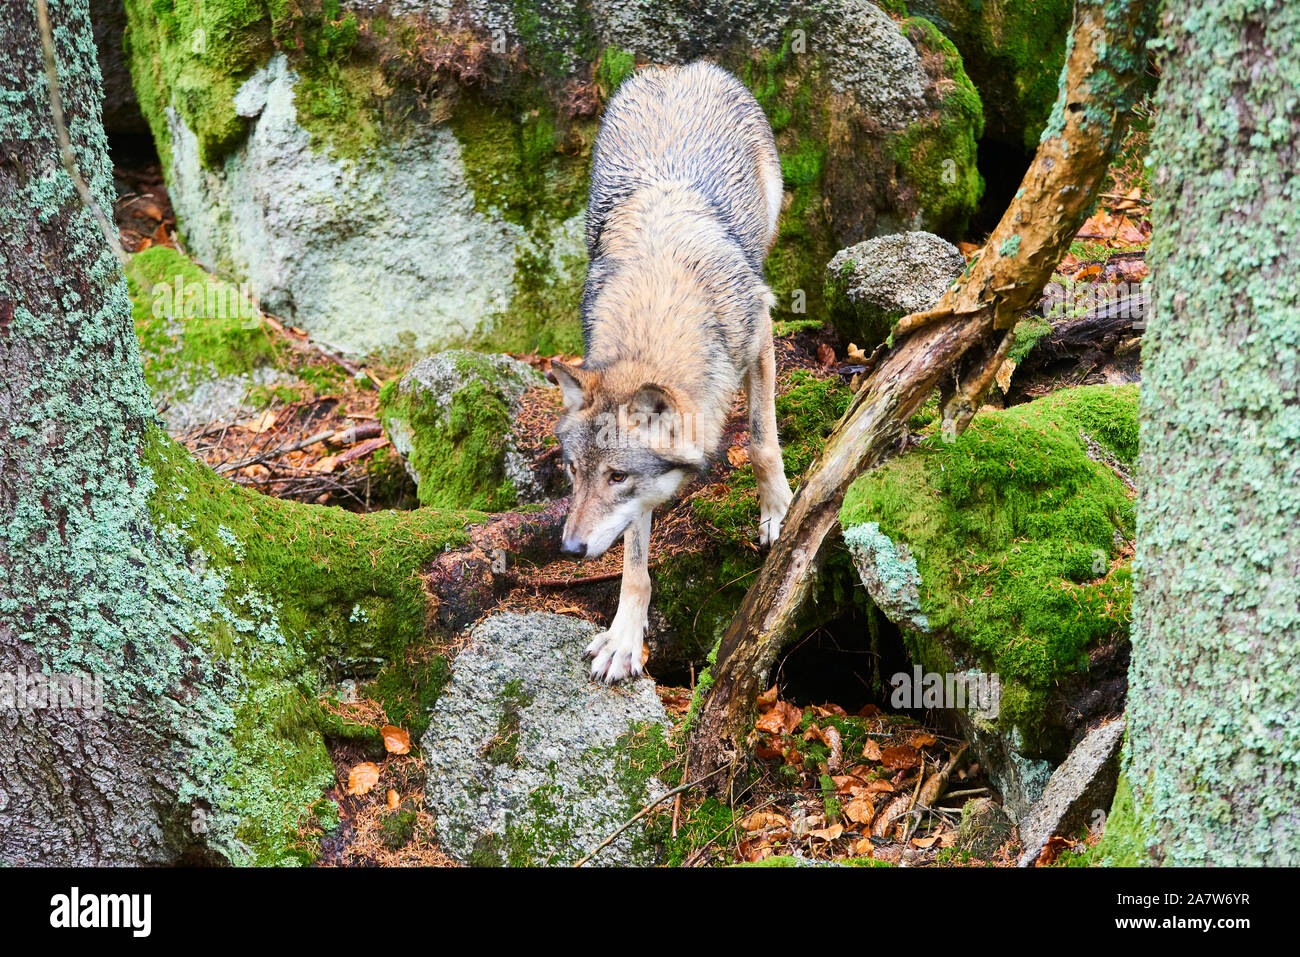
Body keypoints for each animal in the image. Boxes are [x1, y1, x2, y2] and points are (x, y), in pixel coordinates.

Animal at [547, 61, 792, 683]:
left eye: (616, 476)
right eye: (573, 471)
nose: (570, 549)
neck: (656, 309)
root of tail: (678, 68)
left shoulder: (759, 335)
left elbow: (762, 441)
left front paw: (777, 511)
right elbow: (635, 568)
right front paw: (623, 640)